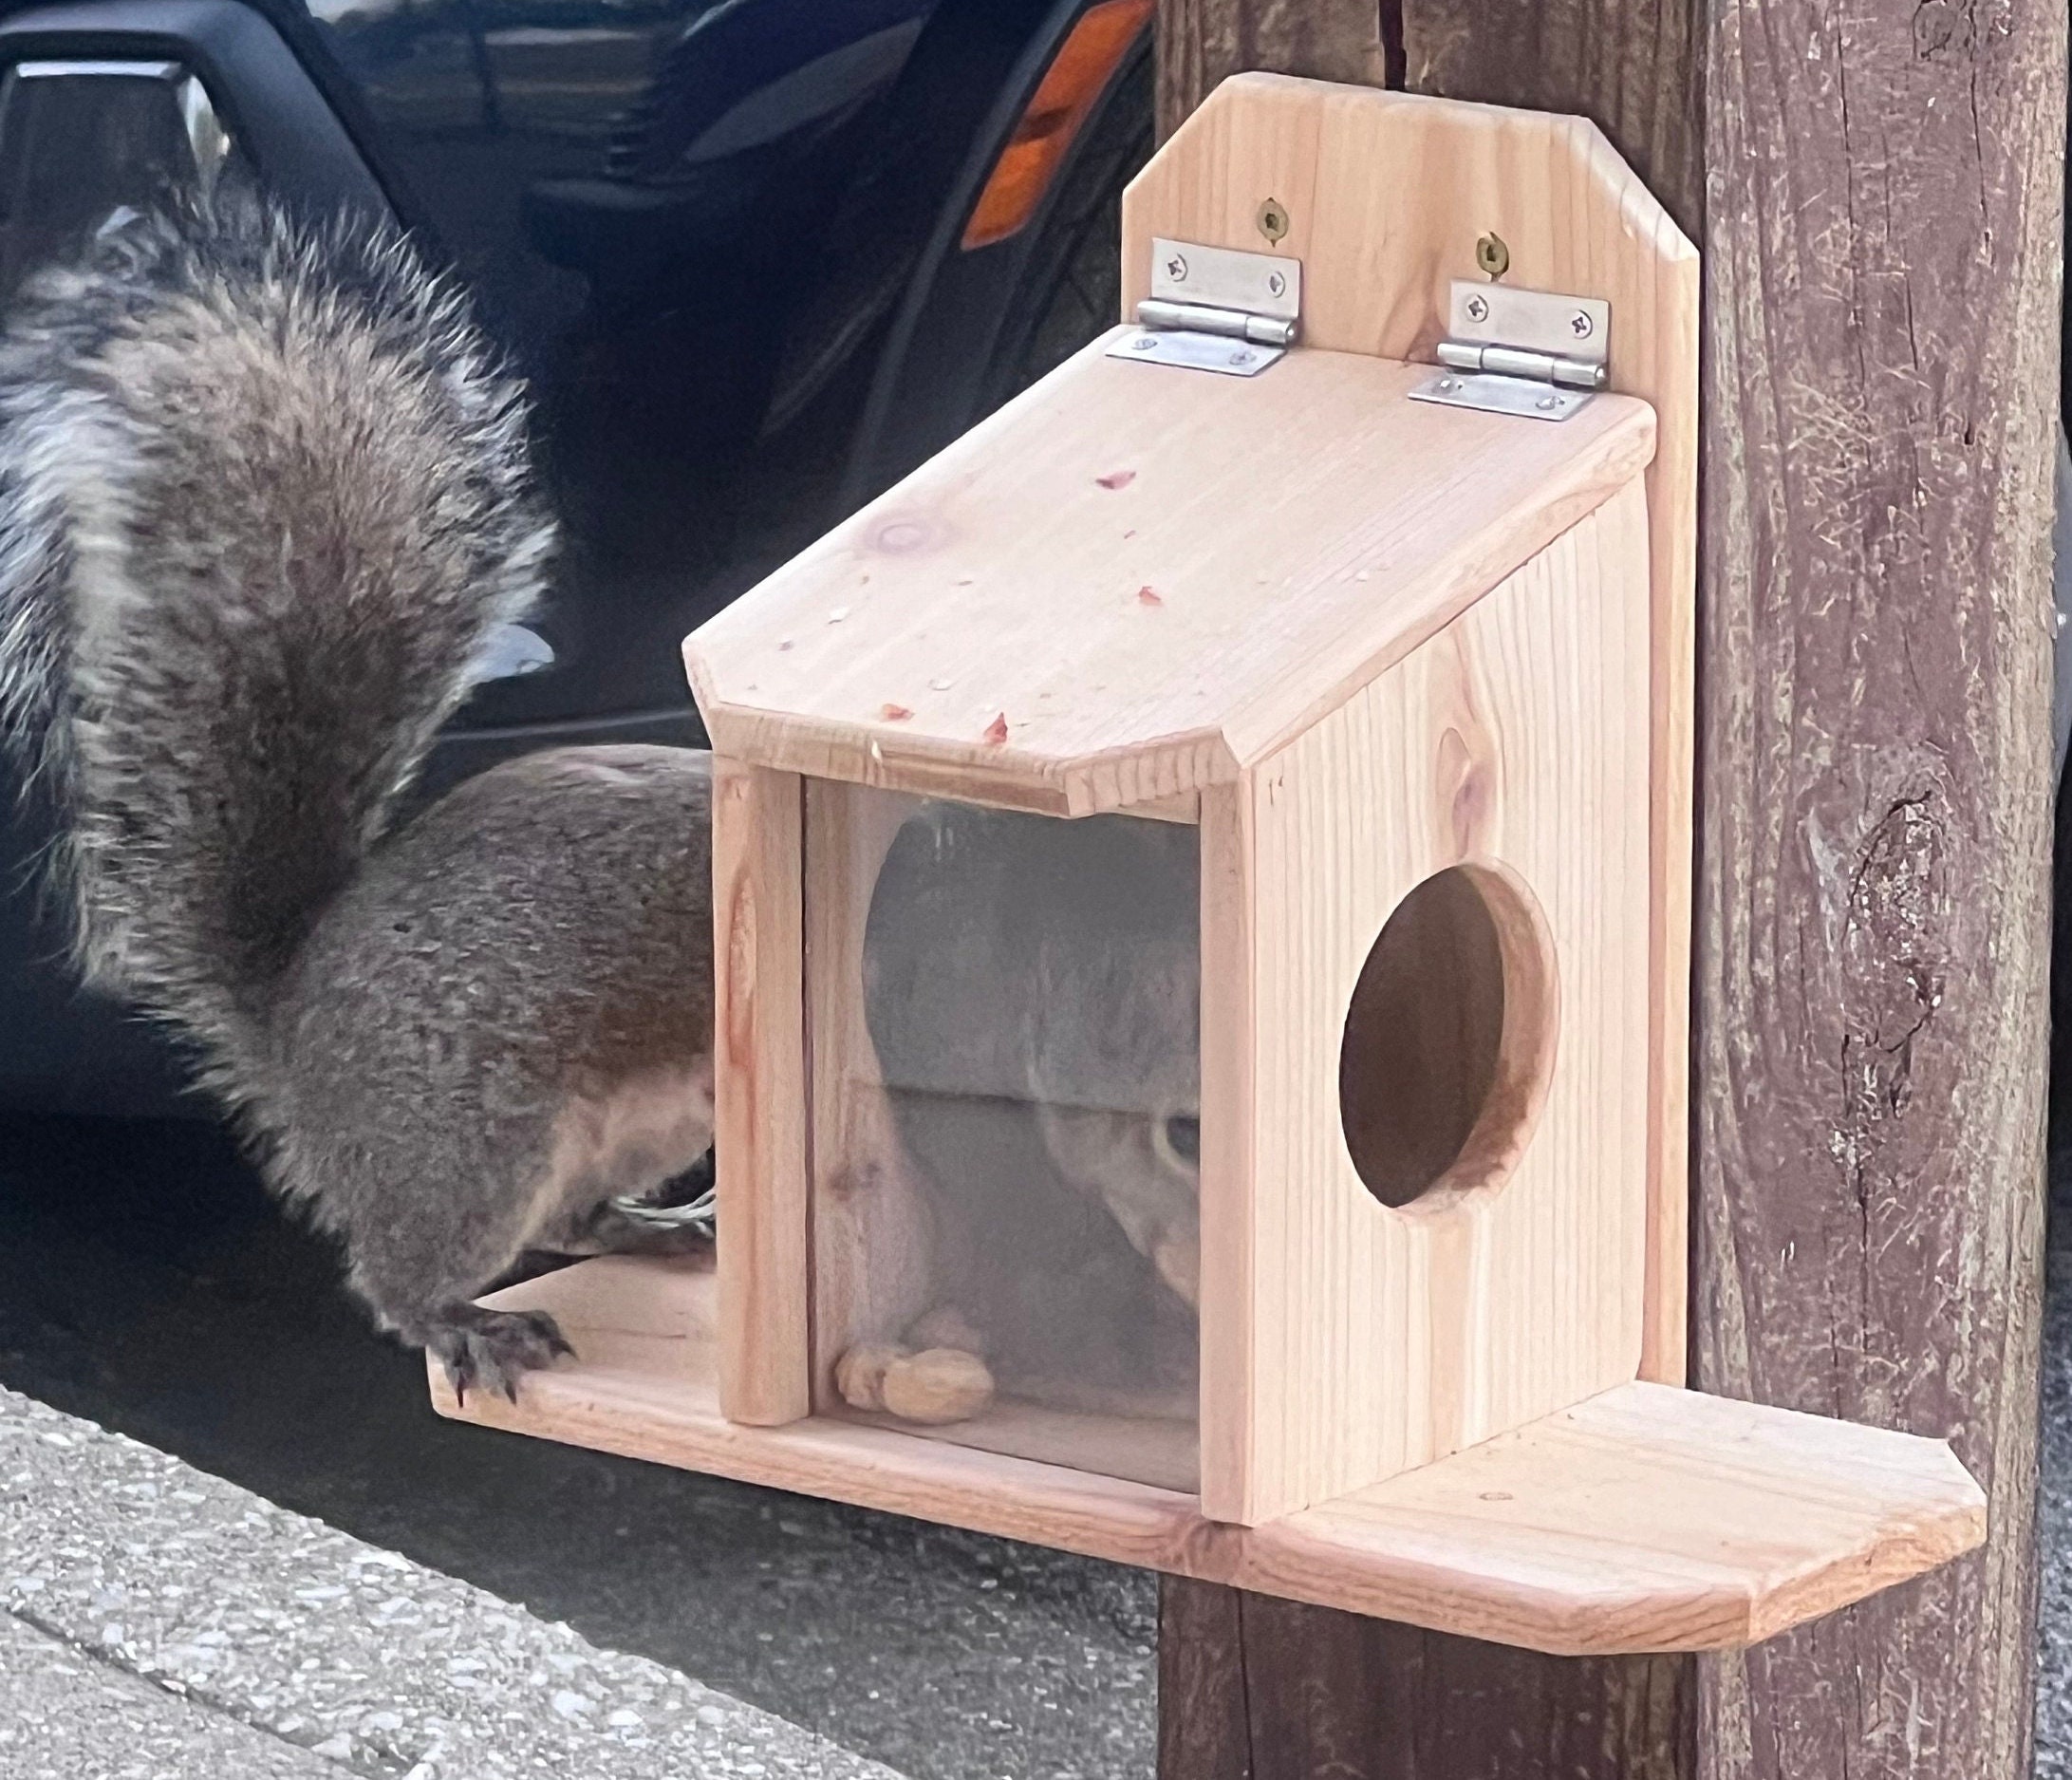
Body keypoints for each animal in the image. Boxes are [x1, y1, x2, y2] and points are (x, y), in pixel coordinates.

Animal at [0, 195, 717, 1401]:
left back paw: (653, 1226)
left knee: (571, 1221)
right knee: (402, 1277)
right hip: (471, 1144)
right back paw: (465, 1323)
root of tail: (294, 1043)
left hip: (642, 1128)